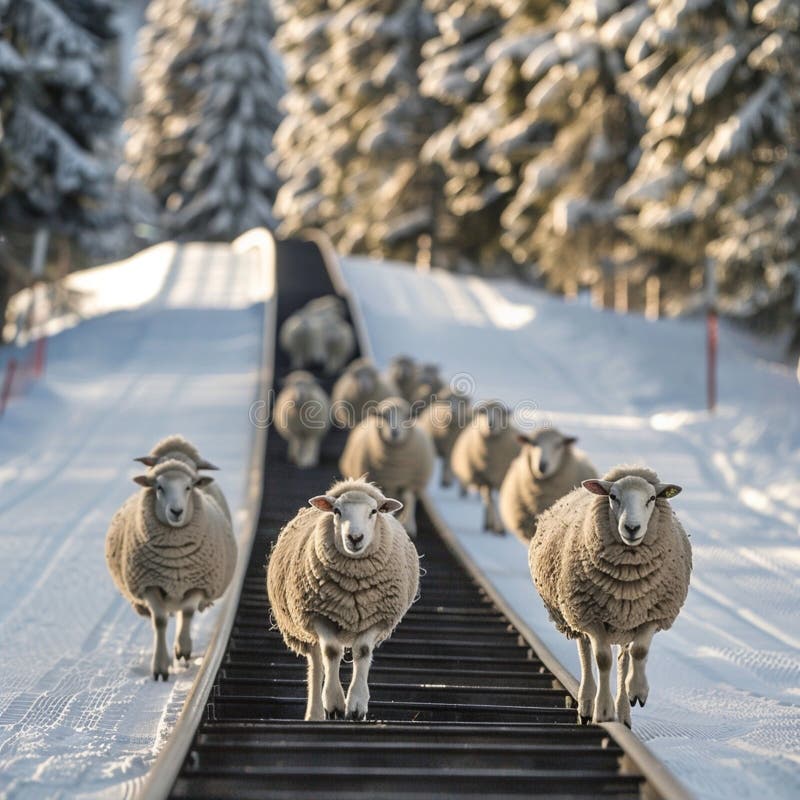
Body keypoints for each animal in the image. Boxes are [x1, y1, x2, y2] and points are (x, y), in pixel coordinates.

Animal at [105, 459, 237, 680]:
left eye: (188, 487)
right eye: (159, 487)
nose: (176, 511)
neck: (175, 556)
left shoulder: (198, 583)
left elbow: (188, 611)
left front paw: (183, 647)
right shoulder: (149, 584)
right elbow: (159, 621)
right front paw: (160, 666)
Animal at [266, 478, 419, 721]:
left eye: (374, 511)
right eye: (337, 511)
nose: (354, 538)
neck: (353, 585)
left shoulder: (377, 617)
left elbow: (363, 651)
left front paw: (356, 705)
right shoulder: (318, 615)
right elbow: (332, 652)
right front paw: (334, 703)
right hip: (304, 628)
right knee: (317, 664)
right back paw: (315, 713)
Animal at [339, 397, 435, 537]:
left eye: (407, 416)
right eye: (382, 416)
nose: (394, 433)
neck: (395, 466)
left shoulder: (411, 482)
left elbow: (409, 498)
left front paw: (409, 526)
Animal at [450, 400, 521, 534]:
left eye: (500, 412)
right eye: (483, 412)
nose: (490, 423)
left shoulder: (501, 477)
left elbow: (498, 500)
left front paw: (500, 528)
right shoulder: (483, 478)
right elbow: (491, 502)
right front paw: (498, 528)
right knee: (487, 500)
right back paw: (488, 525)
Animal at [529, 465, 691, 727]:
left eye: (652, 498)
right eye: (613, 496)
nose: (632, 528)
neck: (628, 582)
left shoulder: (654, 613)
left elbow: (639, 652)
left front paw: (638, 691)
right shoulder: (591, 616)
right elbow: (602, 658)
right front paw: (603, 710)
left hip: (624, 625)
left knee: (624, 658)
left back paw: (624, 712)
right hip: (576, 614)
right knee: (585, 652)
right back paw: (587, 704)